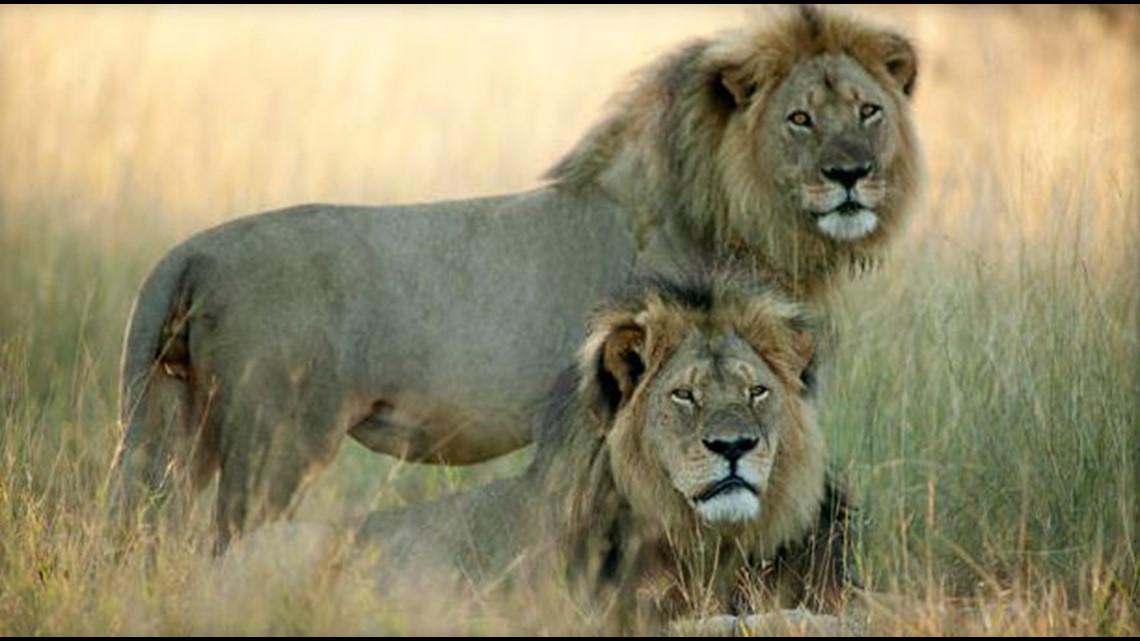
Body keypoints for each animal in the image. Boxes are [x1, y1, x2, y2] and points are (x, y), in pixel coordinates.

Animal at [107, 5, 919, 552]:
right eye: (800, 119)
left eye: (869, 112)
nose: (852, 174)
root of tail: (191, 252)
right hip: (275, 437)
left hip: (174, 422)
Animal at [350, 270, 856, 633]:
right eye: (684, 395)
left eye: (756, 392)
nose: (733, 446)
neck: (712, 540)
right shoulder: (607, 616)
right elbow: (723, 622)